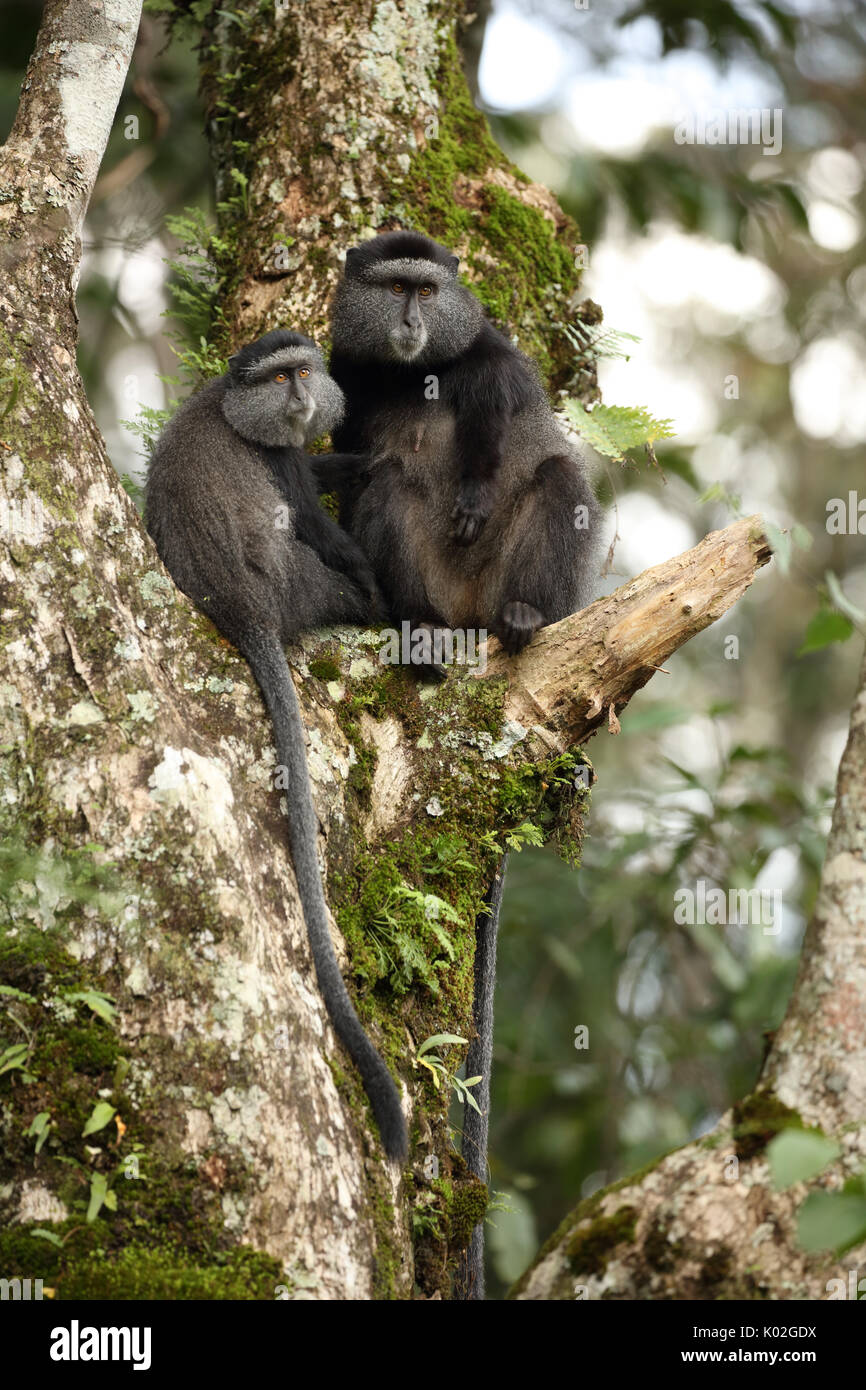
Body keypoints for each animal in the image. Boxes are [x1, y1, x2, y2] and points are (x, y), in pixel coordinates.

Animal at [144, 329, 408, 1162]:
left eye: (302, 371)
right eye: (279, 377)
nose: (298, 397)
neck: (234, 404)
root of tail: (242, 609)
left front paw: (359, 463)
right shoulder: (278, 464)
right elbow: (319, 523)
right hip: (297, 587)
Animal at [324, 230, 602, 1295]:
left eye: (427, 288)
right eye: (391, 288)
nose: (409, 319)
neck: (415, 370)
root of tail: (468, 615)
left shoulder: (492, 352)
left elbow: (499, 426)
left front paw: (480, 481)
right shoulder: (349, 371)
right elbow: (350, 461)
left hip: (525, 567)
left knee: (559, 484)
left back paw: (526, 620)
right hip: (430, 580)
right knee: (391, 488)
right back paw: (414, 633)